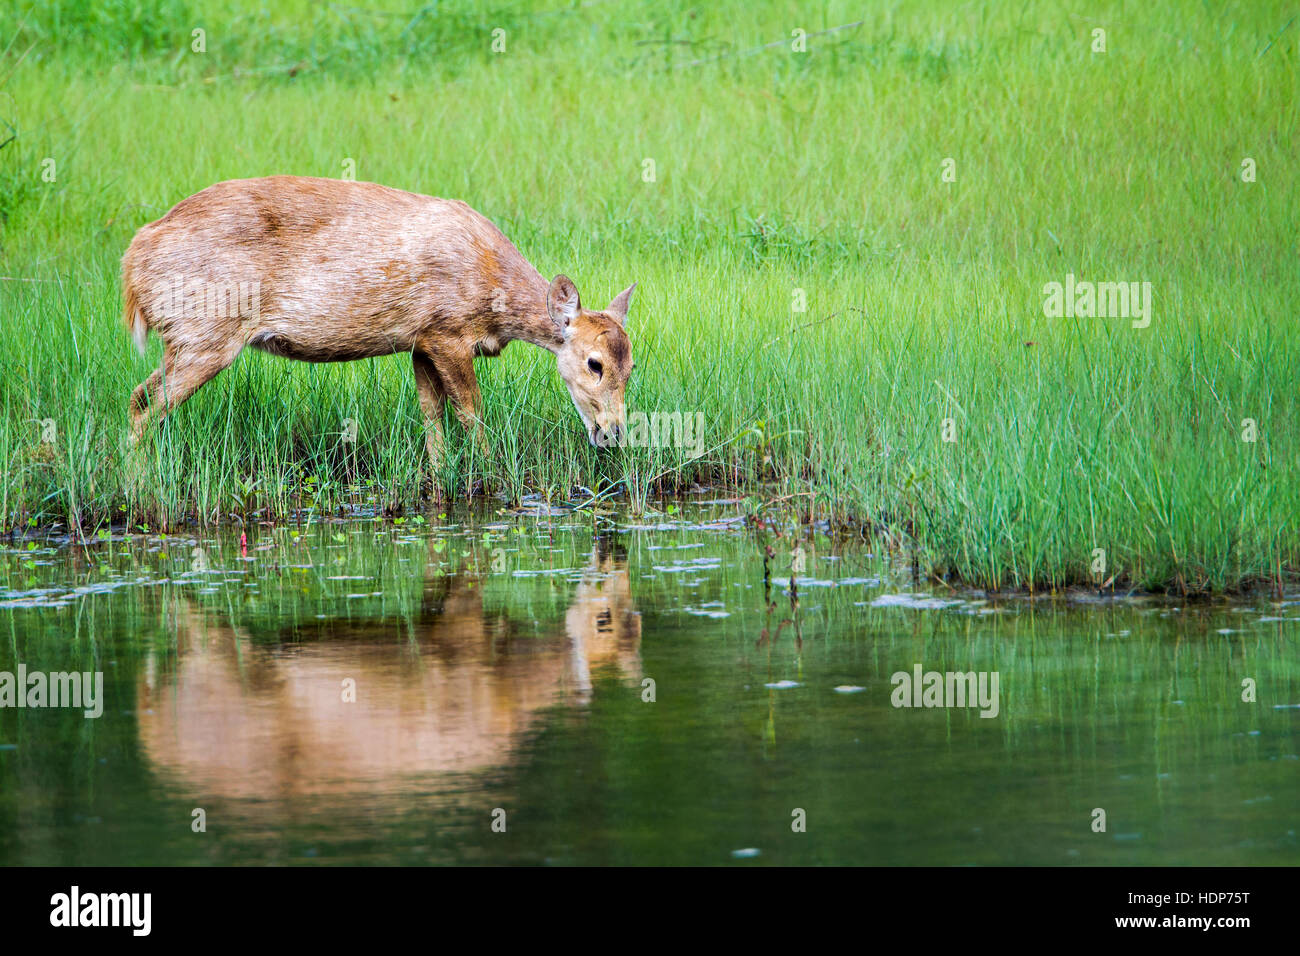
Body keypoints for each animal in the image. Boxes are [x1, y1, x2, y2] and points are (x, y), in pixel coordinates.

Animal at [120, 176, 636, 476]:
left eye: (630, 366)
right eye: (593, 363)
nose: (612, 434)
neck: (494, 296)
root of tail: (132, 261)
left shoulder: (420, 341)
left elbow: (432, 421)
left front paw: (439, 482)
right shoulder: (448, 332)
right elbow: (471, 415)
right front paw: (493, 478)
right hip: (204, 331)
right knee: (143, 403)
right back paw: (137, 486)